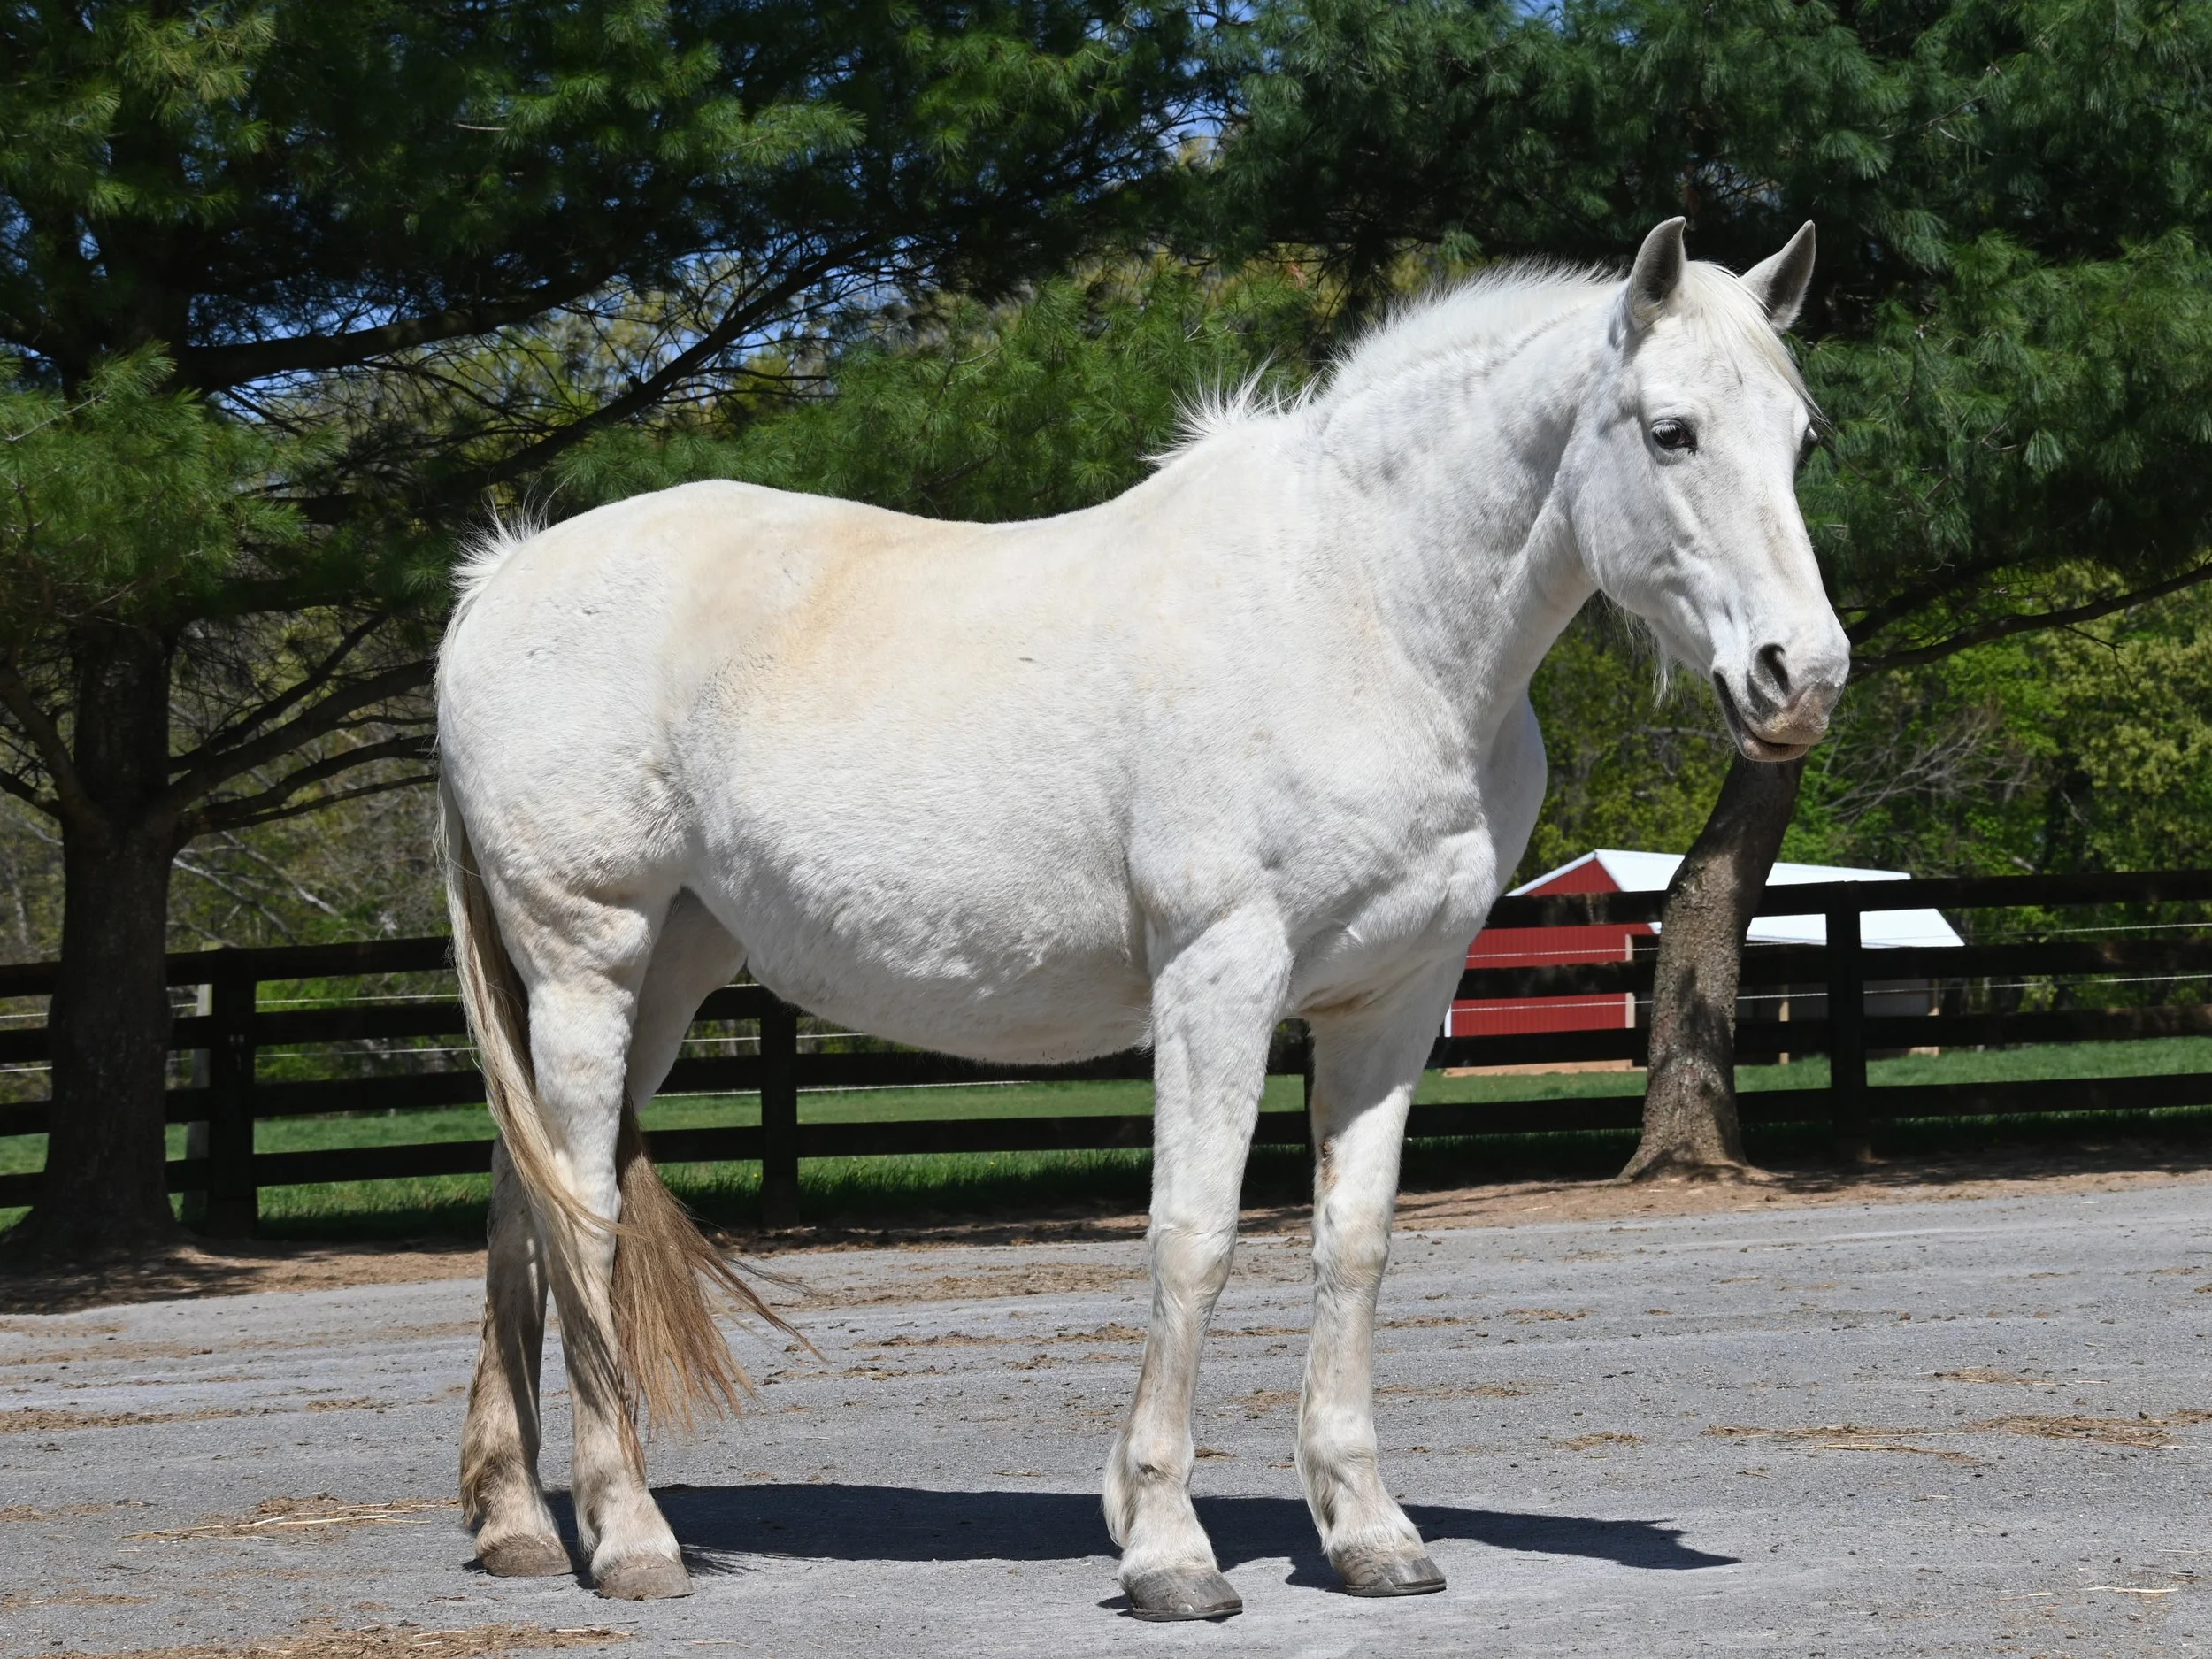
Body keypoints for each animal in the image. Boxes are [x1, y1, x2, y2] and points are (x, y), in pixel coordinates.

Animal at [434, 217, 1847, 1618]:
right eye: (1670, 431)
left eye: (1800, 436)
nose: (1803, 677)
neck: (1365, 611)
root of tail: (501, 578)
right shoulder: (1221, 976)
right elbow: (1192, 1240)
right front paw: (1167, 1543)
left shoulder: (1393, 1001)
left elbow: (1355, 1245)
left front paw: (1367, 1530)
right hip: (590, 965)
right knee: (579, 1217)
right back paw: (629, 1536)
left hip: (666, 973)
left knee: (520, 1206)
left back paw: (514, 1521)